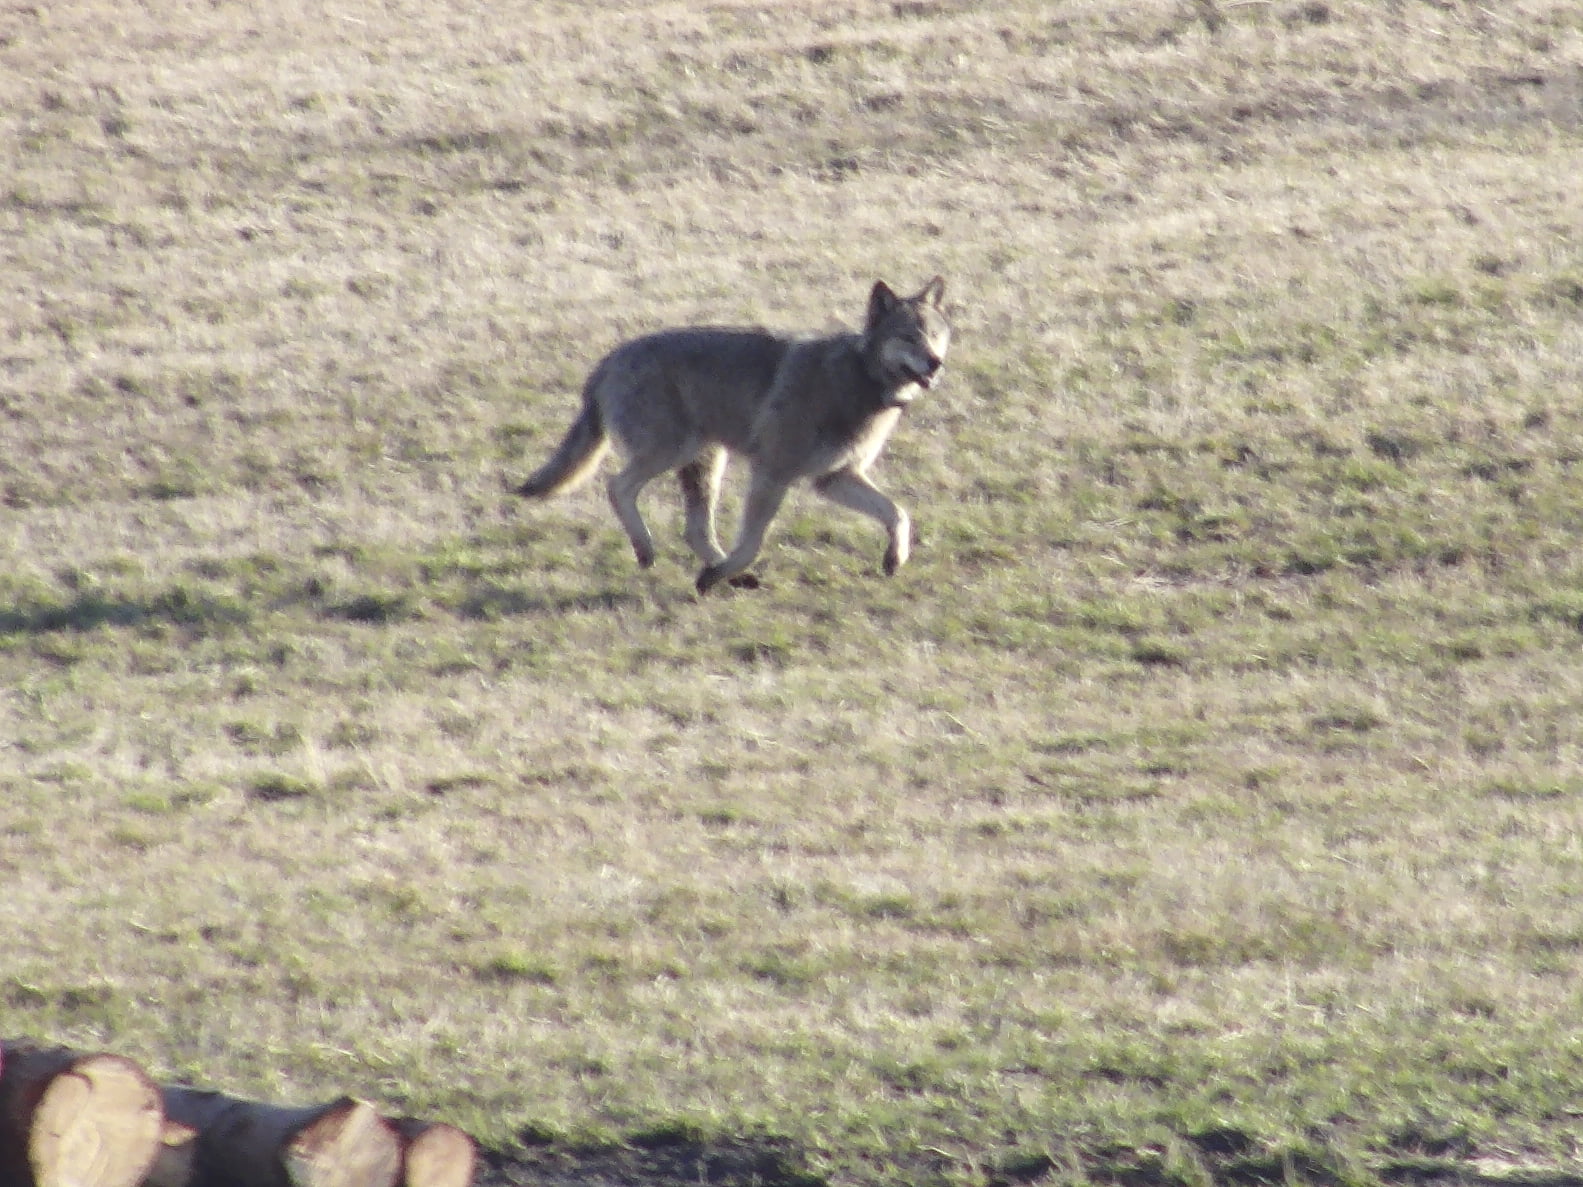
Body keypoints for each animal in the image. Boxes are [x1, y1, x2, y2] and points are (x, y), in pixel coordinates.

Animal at [514, 276, 950, 593]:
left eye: (934, 335)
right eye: (908, 336)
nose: (936, 363)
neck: (860, 379)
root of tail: (608, 359)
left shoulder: (834, 479)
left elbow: (898, 513)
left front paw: (894, 559)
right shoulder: (771, 474)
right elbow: (754, 541)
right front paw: (715, 576)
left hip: (704, 463)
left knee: (694, 530)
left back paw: (726, 574)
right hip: (672, 453)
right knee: (617, 487)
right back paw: (649, 551)